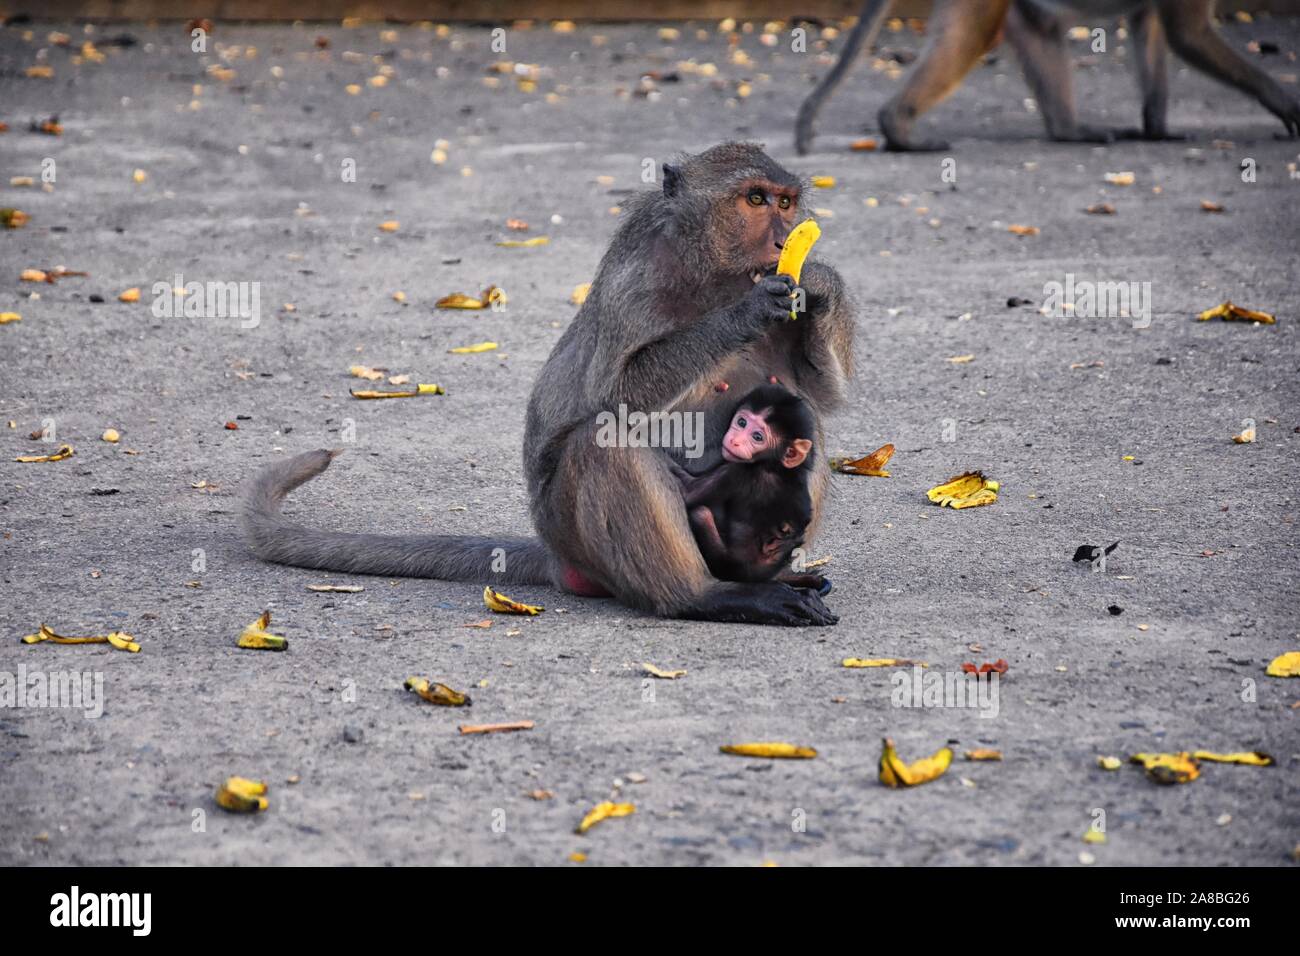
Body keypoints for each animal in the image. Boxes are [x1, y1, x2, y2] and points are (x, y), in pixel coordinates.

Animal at [668, 384, 828, 591]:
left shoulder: (738, 472)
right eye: (742, 422)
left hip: (727, 564)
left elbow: (689, 493)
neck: (776, 466)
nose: (734, 440)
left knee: (700, 514)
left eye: (757, 437)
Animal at [795, 0, 1300, 154]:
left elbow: (1152, 25)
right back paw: (898, 127)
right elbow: (1187, 34)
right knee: (972, 35)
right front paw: (1284, 102)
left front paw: (1158, 128)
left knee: (1036, 27)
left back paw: (1069, 130)